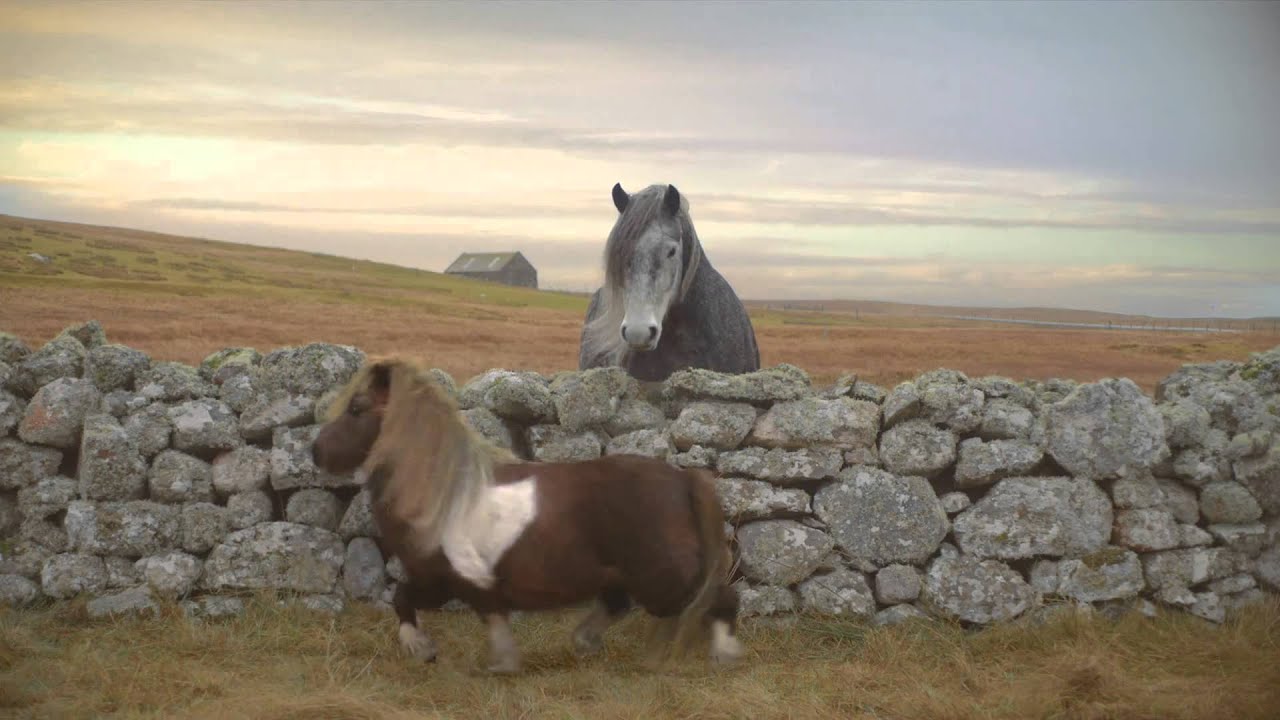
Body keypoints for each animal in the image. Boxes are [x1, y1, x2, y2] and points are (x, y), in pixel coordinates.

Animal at [310, 356, 745, 674]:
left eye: (356, 408)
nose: (316, 452)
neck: (441, 493)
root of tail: (683, 478)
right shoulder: (445, 582)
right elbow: (414, 600)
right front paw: (440, 652)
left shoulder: (452, 580)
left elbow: (418, 602)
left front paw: (432, 650)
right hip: (626, 574)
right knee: (622, 605)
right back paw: (592, 642)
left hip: (662, 577)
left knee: (718, 599)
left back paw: (724, 655)